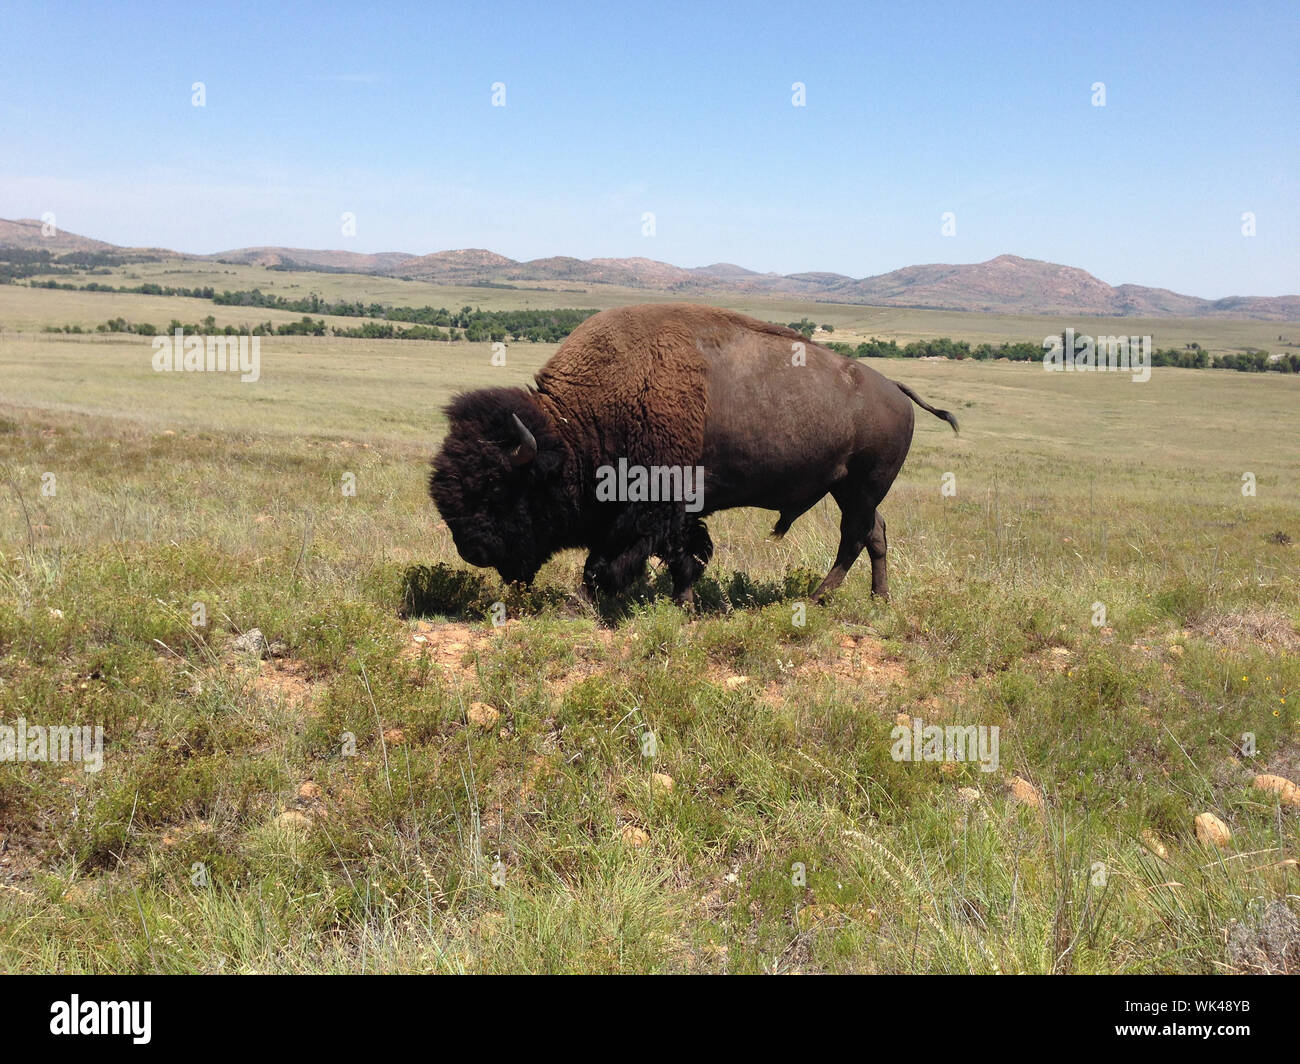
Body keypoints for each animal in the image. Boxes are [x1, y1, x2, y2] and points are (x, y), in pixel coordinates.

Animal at [429, 303, 957, 606]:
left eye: (498, 490)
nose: (471, 550)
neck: (580, 426)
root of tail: (895, 390)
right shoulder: (679, 509)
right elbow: (685, 552)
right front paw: (679, 601)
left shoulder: (653, 504)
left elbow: (630, 556)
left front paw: (591, 598)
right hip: (850, 489)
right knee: (874, 533)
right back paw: (878, 600)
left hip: (860, 487)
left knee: (856, 536)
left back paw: (821, 598)